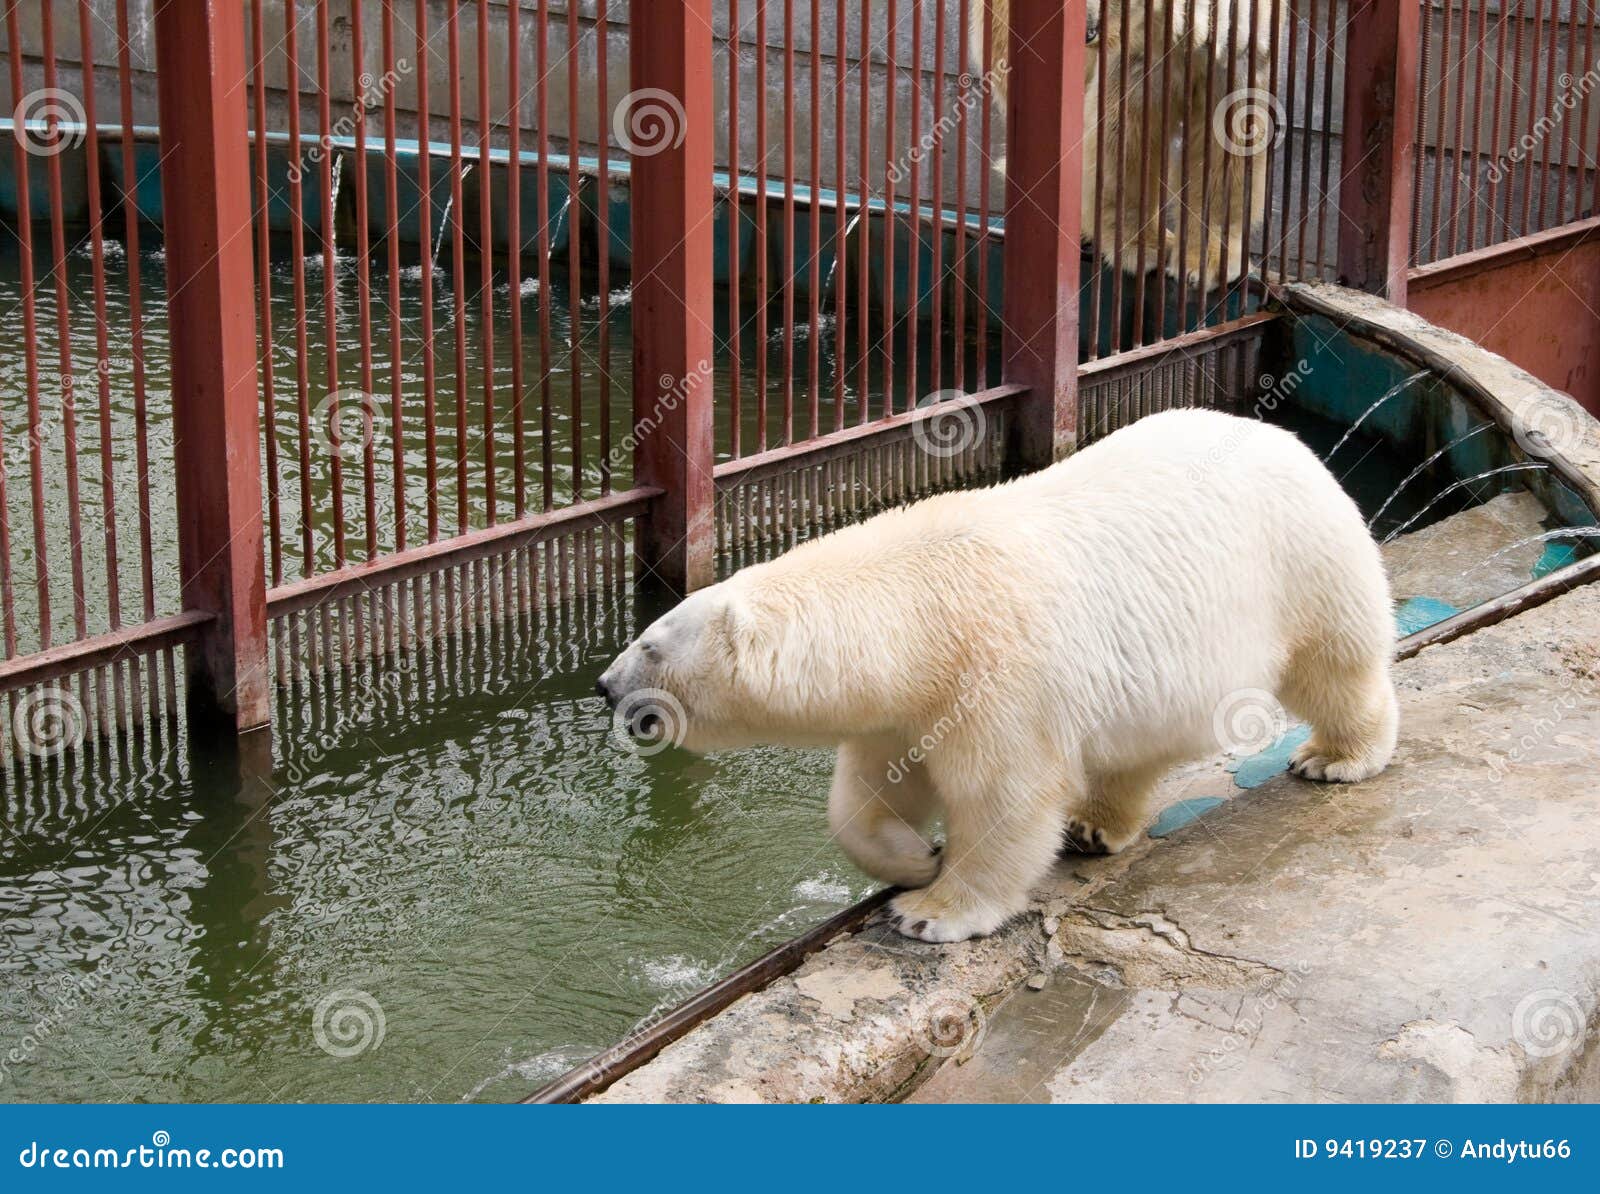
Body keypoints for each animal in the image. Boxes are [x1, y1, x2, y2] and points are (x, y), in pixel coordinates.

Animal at [596, 408, 1399, 943]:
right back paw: (1096, 826)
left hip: (1301, 562)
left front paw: (931, 912)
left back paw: (1336, 757)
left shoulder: (994, 679)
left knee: (1334, 664)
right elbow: (872, 790)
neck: (921, 610)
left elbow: (1003, 797)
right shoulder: (910, 703)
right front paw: (915, 860)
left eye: (650, 644)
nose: (604, 685)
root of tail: (1285, 439)